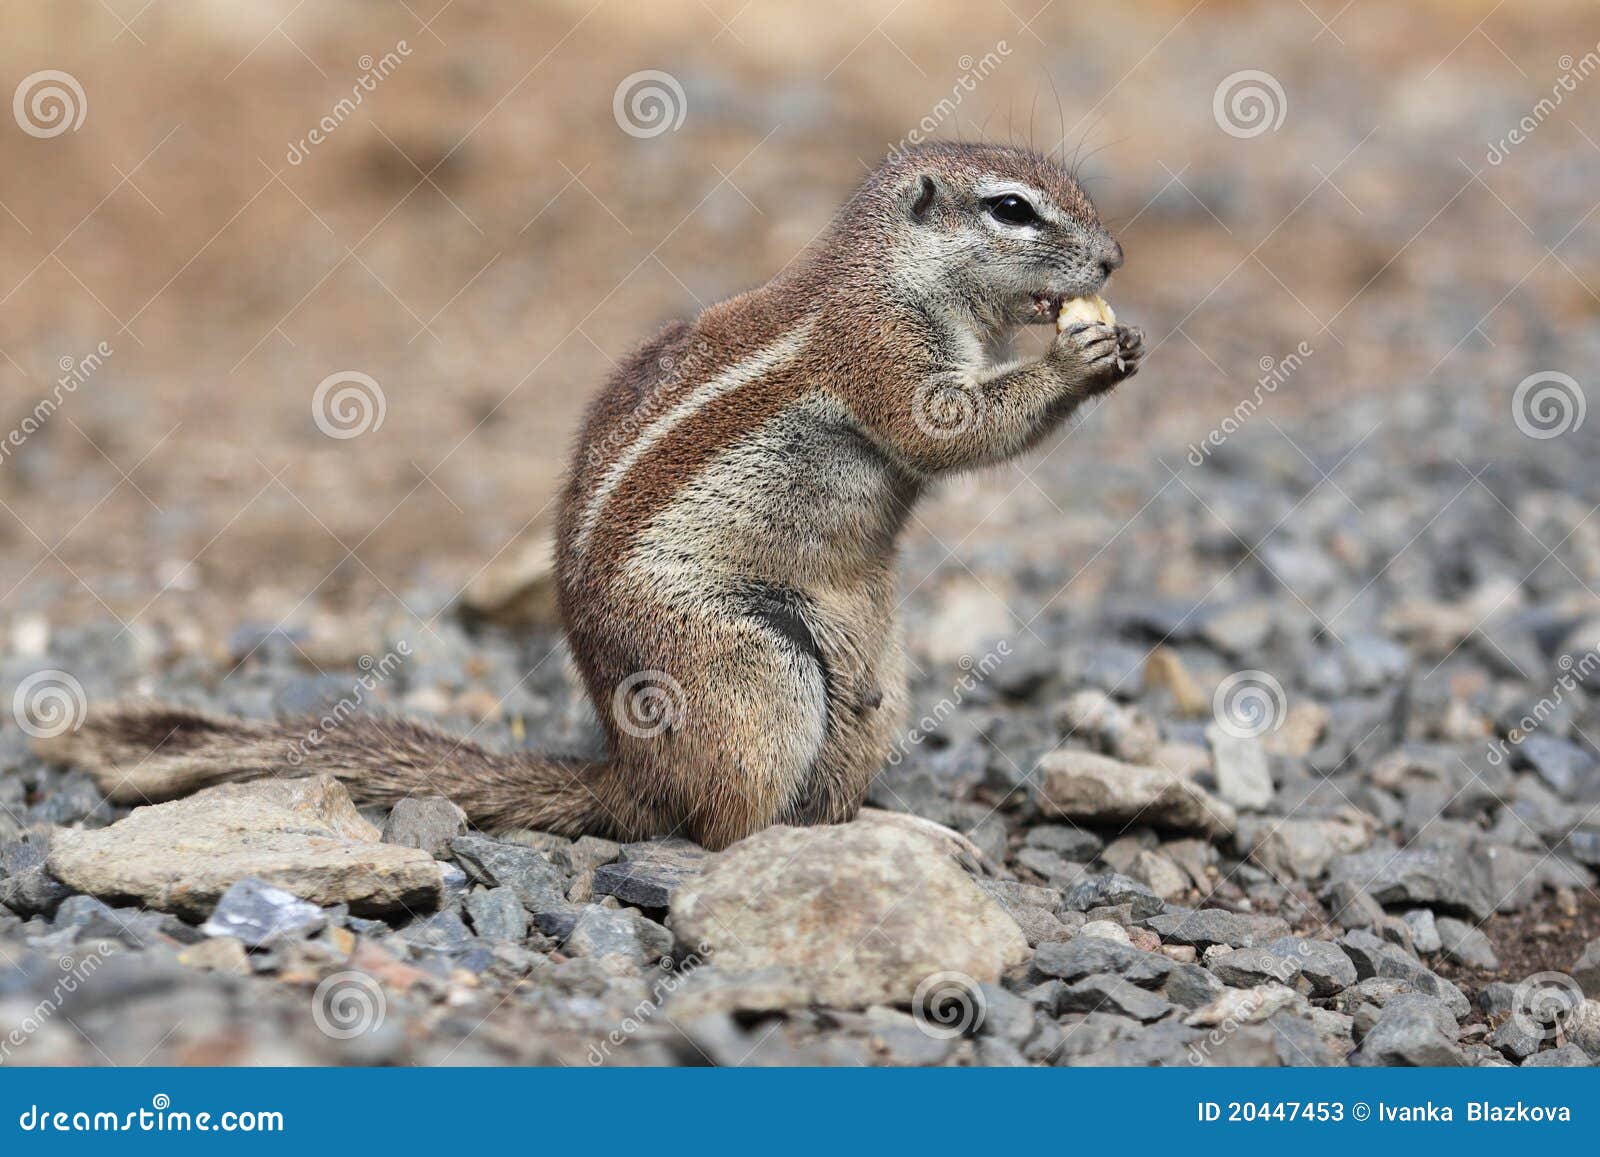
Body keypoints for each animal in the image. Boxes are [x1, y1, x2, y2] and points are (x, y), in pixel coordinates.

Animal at [44, 142, 1143, 851]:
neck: (896, 274)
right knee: (718, 821)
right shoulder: (878, 352)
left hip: (874, 676)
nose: (1112, 259)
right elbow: (944, 430)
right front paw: (1080, 357)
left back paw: (892, 825)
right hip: (746, 666)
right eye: (1012, 209)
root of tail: (628, 766)